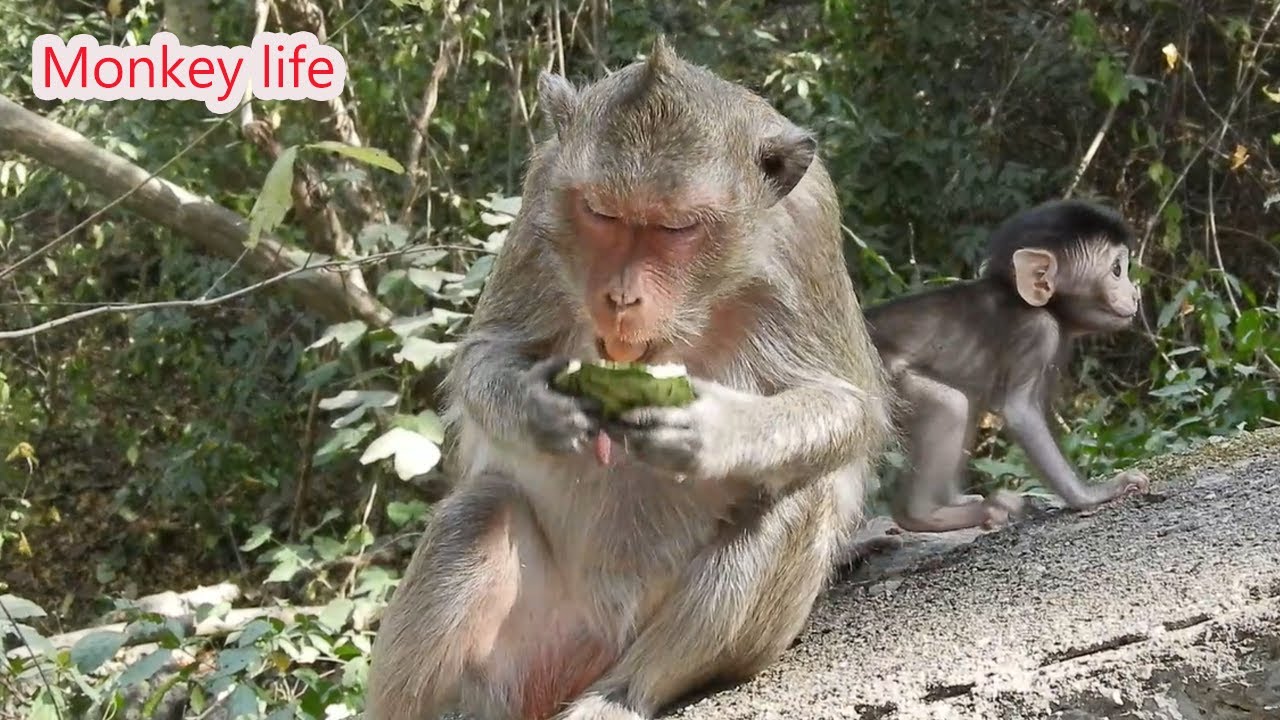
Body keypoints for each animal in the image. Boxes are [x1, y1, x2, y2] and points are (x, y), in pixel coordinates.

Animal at [366, 38, 894, 720]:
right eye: (600, 213)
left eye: (677, 228)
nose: (620, 297)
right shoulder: (540, 191)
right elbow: (487, 351)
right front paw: (540, 408)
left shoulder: (810, 227)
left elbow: (847, 404)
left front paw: (712, 430)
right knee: (478, 513)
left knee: (802, 493)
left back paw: (622, 695)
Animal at [863, 198, 1151, 535]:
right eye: (1117, 270)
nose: (1135, 293)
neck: (1026, 300)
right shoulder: (1039, 332)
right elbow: (1021, 412)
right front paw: (1095, 495)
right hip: (879, 383)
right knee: (950, 404)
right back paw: (923, 515)